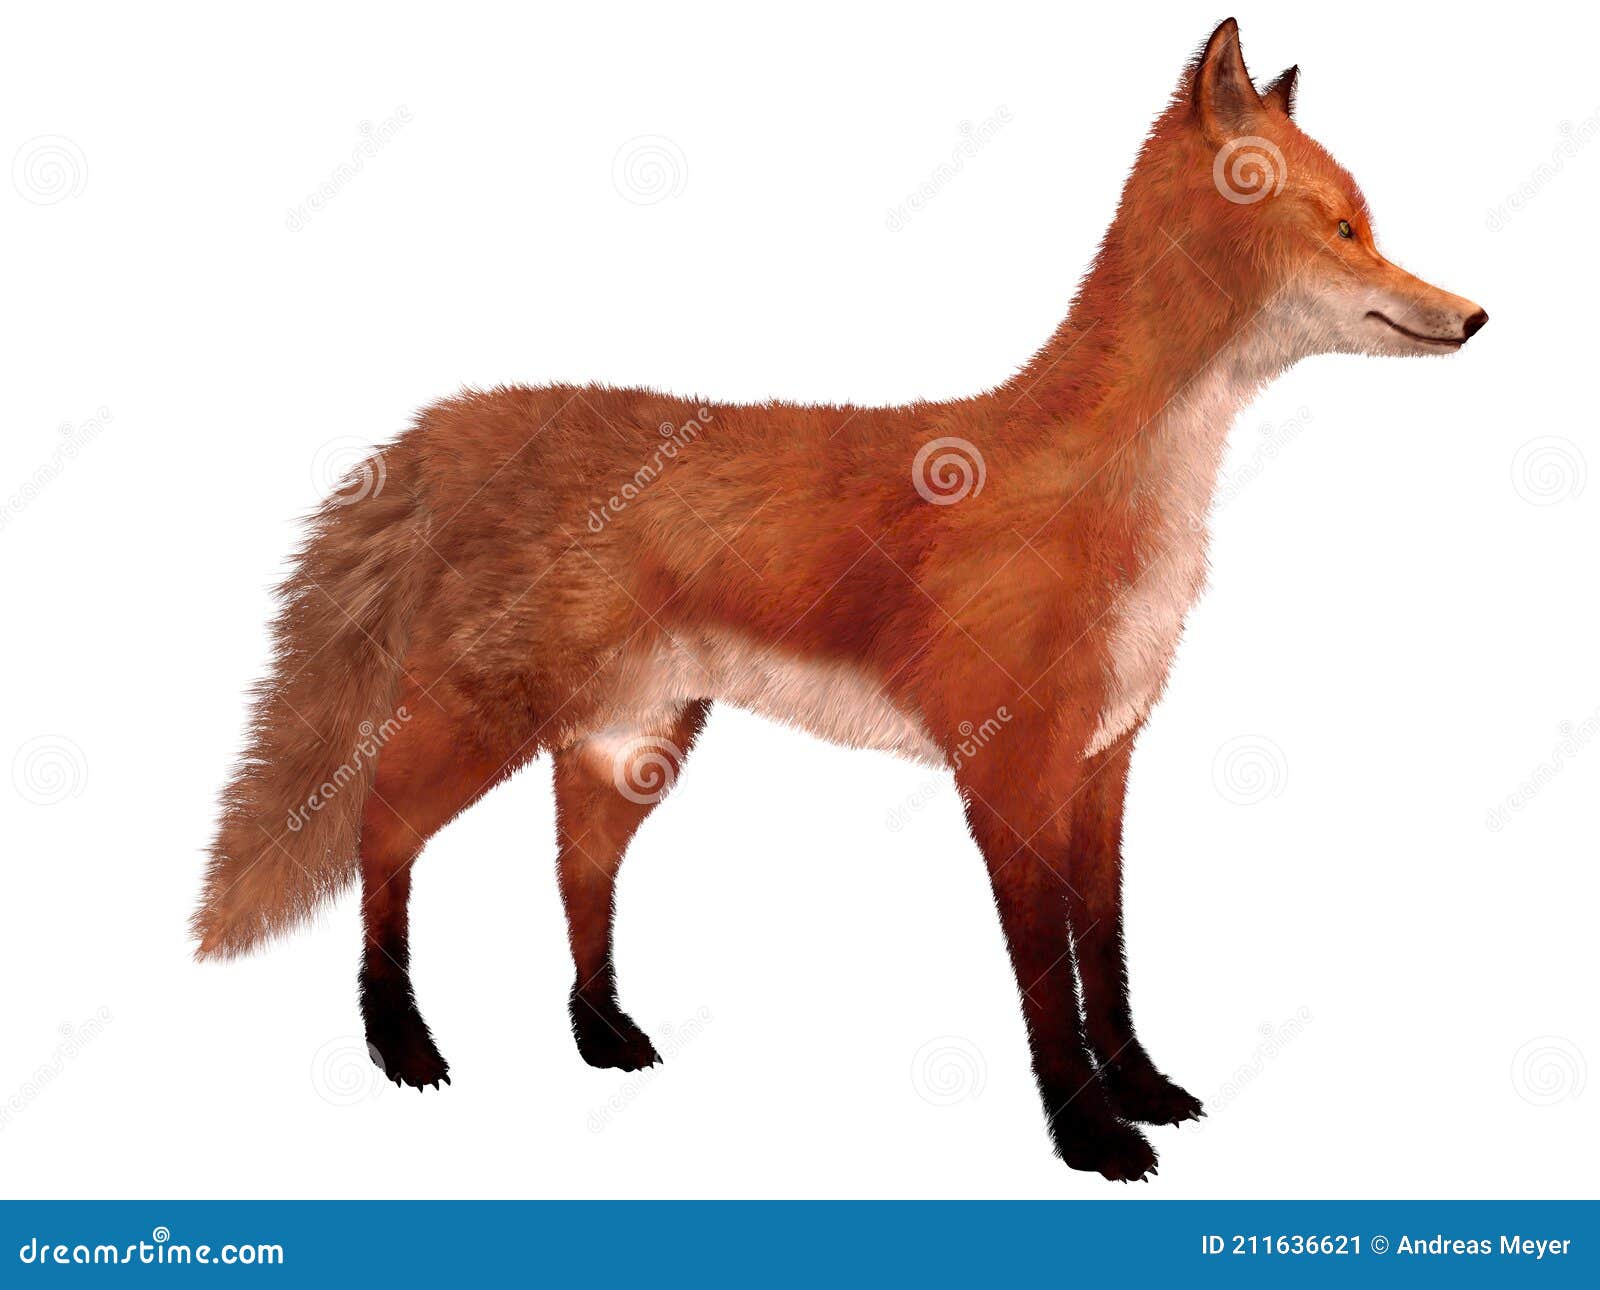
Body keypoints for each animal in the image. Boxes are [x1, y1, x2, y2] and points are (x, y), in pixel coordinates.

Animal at [195, 18, 1487, 1181]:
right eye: (1344, 228)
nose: (1472, 316)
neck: (1120, 493)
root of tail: (465, 416)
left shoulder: (1104, 759)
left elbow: (1108, 955)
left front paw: (1142, 1088)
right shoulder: (1007, 770)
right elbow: (1046, 984)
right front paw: (1089, 1136)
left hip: (631, 746)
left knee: (574, 875)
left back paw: (600, 1032)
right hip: (486, 720)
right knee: (380, 828)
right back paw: (396, 1039)